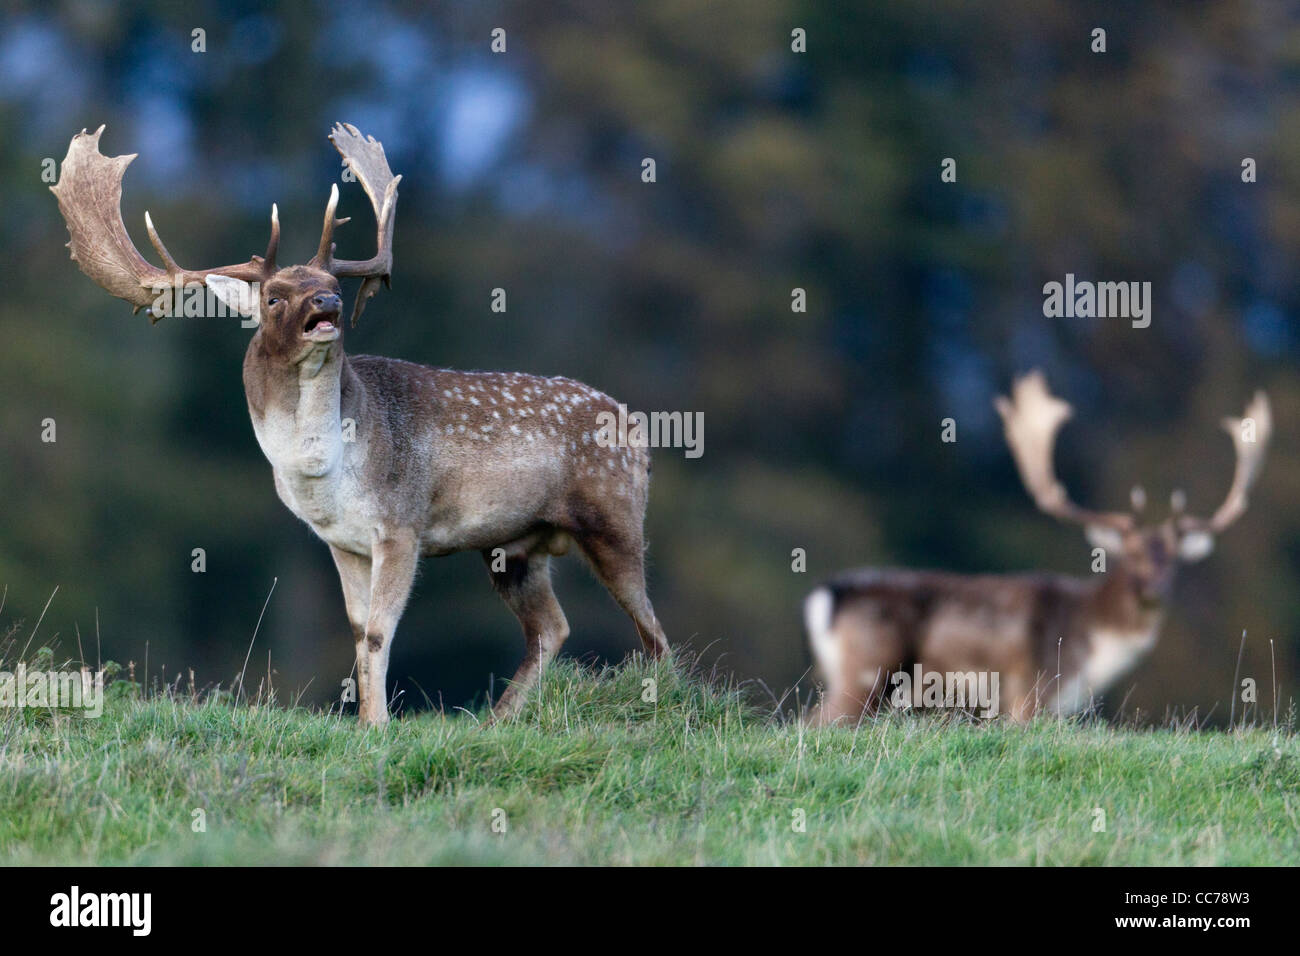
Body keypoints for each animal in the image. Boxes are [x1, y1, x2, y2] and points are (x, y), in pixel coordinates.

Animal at [51, 124, 670, 725]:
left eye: (335, 284)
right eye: (273, 297)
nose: (327, 303)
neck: (326, 473)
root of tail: (636, 429)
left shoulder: (402, 525)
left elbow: (376, 632)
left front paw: (380, 725)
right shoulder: (342, 543)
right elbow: (355, 631)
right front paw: (369, 723)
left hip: (614, 516)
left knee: (653, 632)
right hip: (515, 546)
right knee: (552, 627)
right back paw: (496, 721)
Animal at [805, 371, 1271, 725]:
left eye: (1174, 560)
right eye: (1132, 553)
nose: (1154, 588)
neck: (1093, 649)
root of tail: (826, 596)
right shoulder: (1031, 691)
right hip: (866, 671)